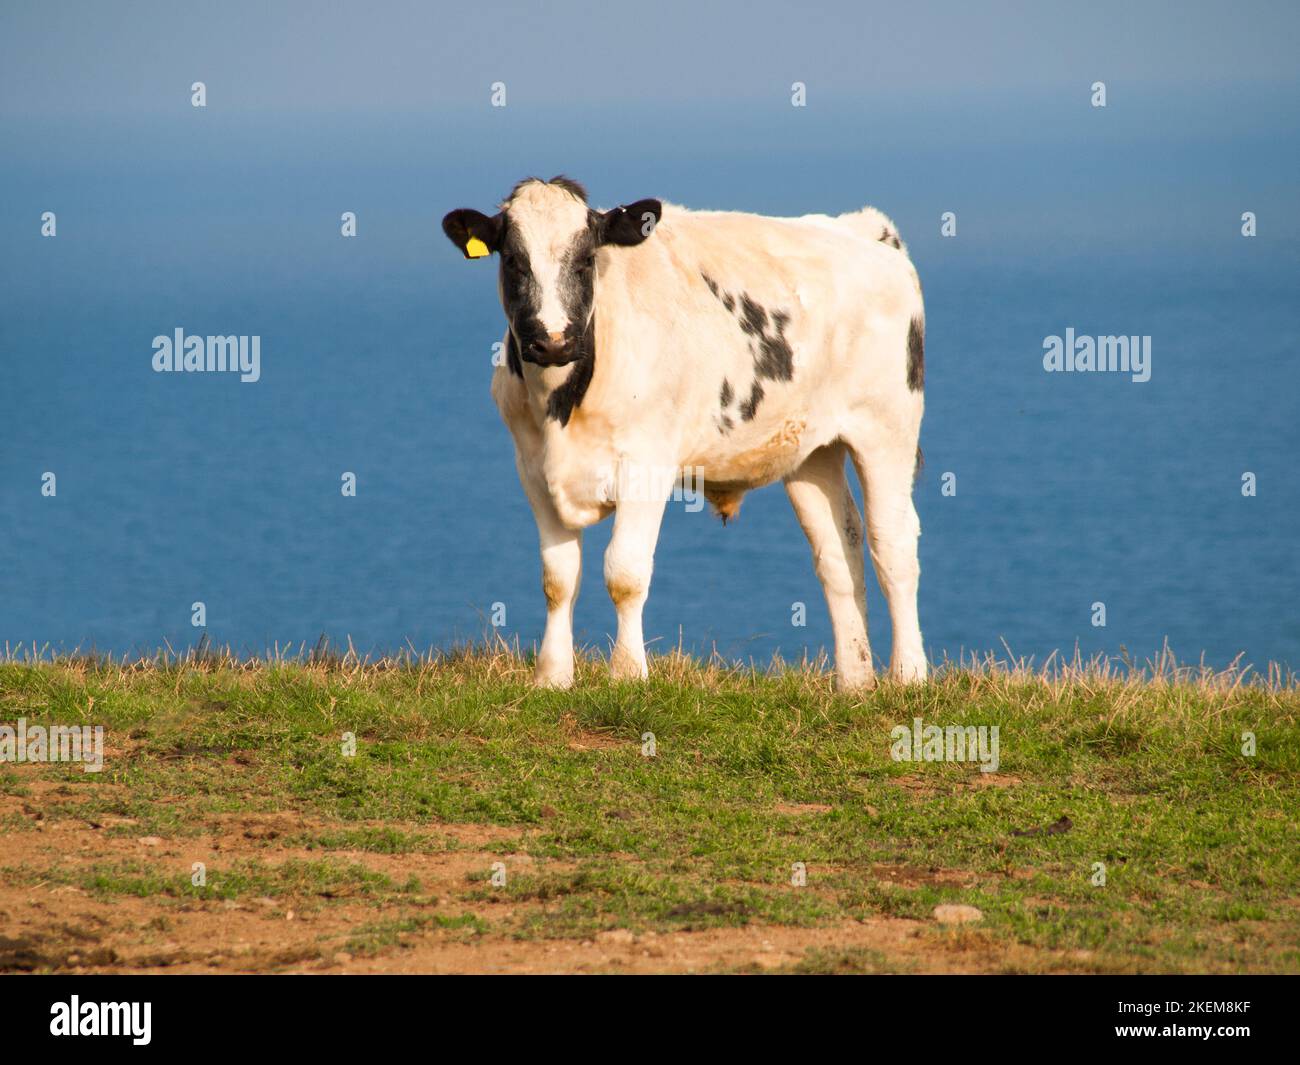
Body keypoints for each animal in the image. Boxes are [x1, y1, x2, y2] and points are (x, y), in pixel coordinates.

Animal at [442, 176, 926, 691]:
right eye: (513, 260)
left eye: (587, 259)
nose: (552, 341)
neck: (560, 408)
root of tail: (863, 226)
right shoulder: (533, 469)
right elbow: (558, 578)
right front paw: (552, 677)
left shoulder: (646, 465)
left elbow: (625, 572)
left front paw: (628, 674)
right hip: (812, 449)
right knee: (839, 550)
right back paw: (854, 683)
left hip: (887, 426)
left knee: (893, 543)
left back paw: (908, 675)